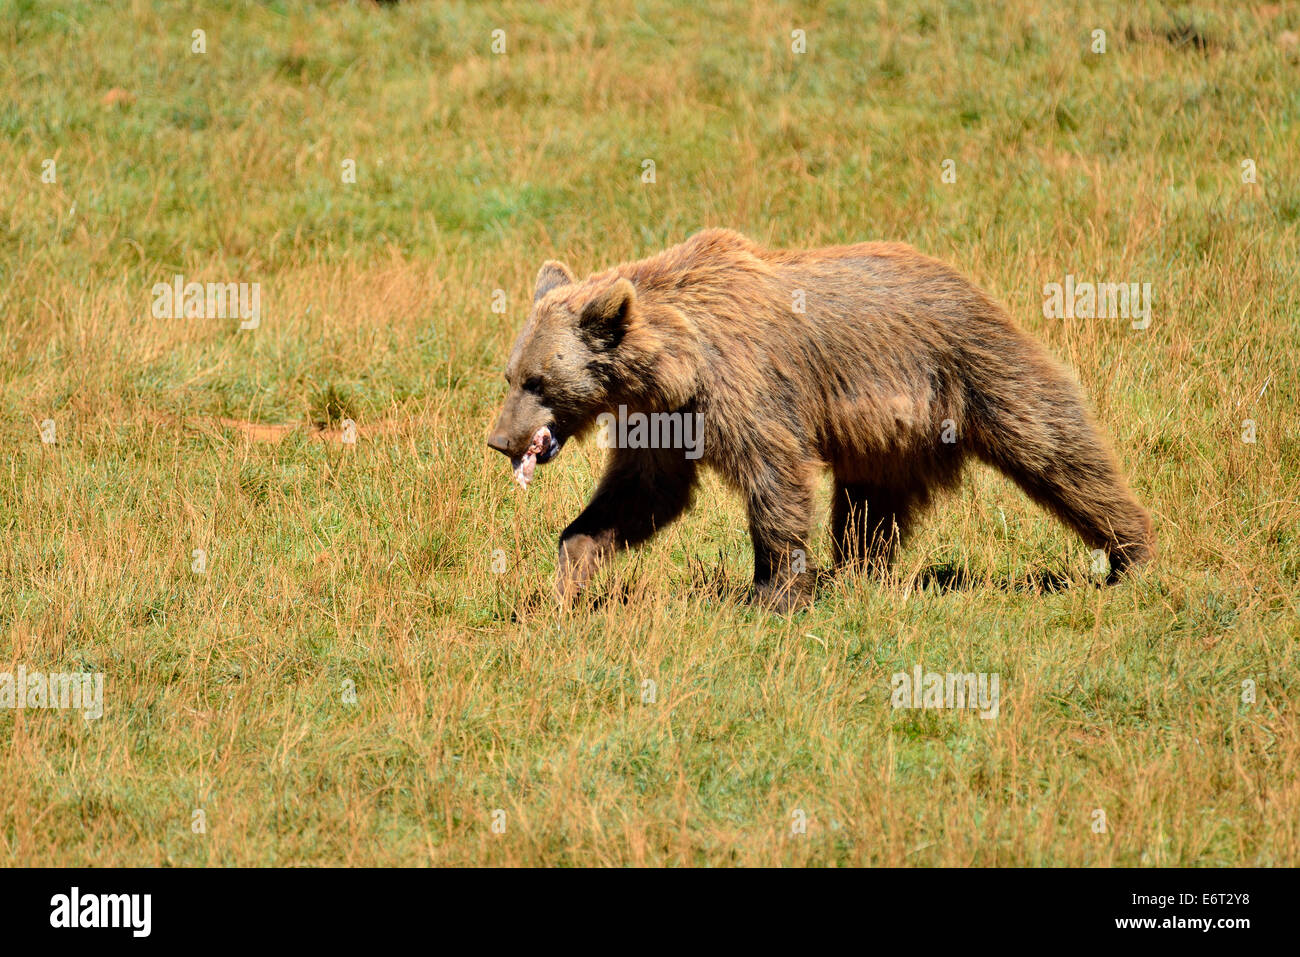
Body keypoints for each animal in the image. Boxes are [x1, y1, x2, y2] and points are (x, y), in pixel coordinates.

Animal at [487, 228, 1154, 611]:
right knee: (868, 506)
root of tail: (965, 278)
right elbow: (641, 493)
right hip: (889, 434)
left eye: (538, 380)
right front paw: (569, 577)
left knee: (1054, 445)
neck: (676, 364)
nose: (499, 439)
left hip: (971, 364)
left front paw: (772, 593)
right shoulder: (663, 418)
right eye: (511, 374)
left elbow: (774, 477)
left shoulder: (743, 389)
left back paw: (1130, 552)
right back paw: (859, 571)